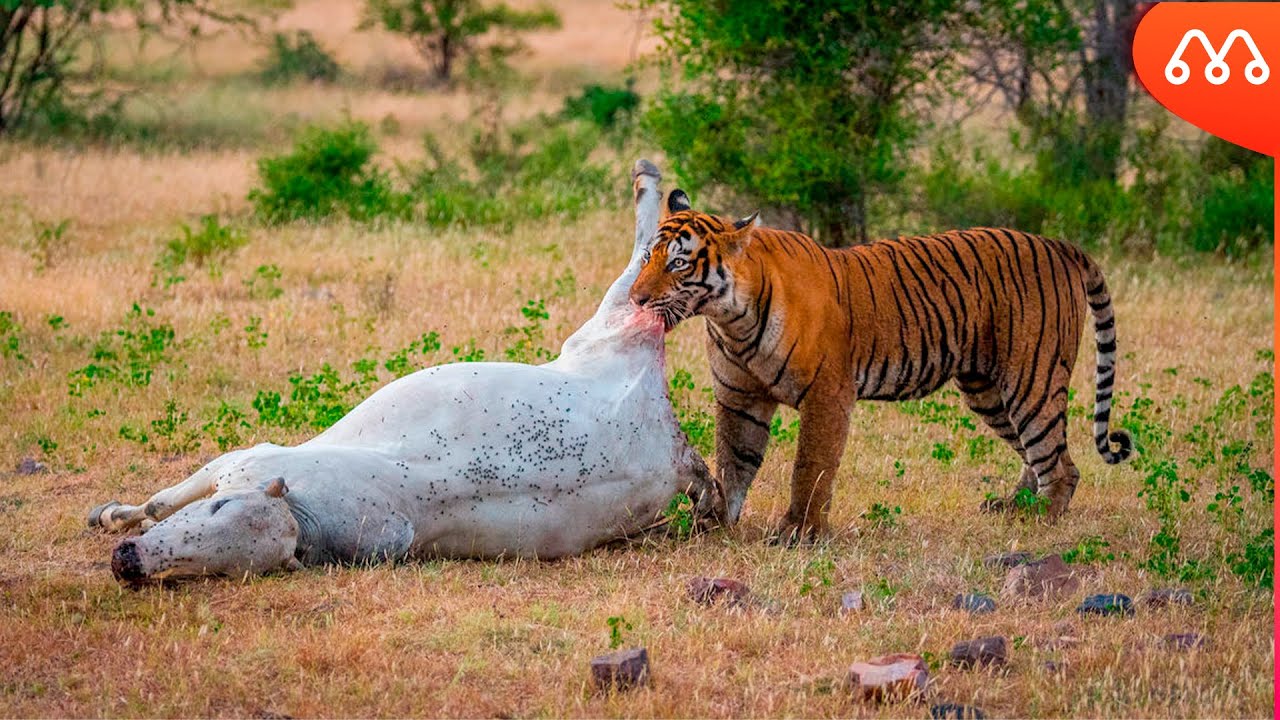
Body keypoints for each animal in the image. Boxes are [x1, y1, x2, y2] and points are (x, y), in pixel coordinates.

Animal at [629, 189, 1132, 542]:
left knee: (1060, 462)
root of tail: (1059, 245)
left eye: (678, 263)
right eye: (648, 256)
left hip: (1031, 379)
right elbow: (733, 461)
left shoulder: (827, 394)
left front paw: (799, 532)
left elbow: (810, 466)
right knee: (1034, 451)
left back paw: (1042, 519)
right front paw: (715, 523)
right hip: (989, 389)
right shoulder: (740, 398)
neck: (729, 317)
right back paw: (1017, 506)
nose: (635, 298)